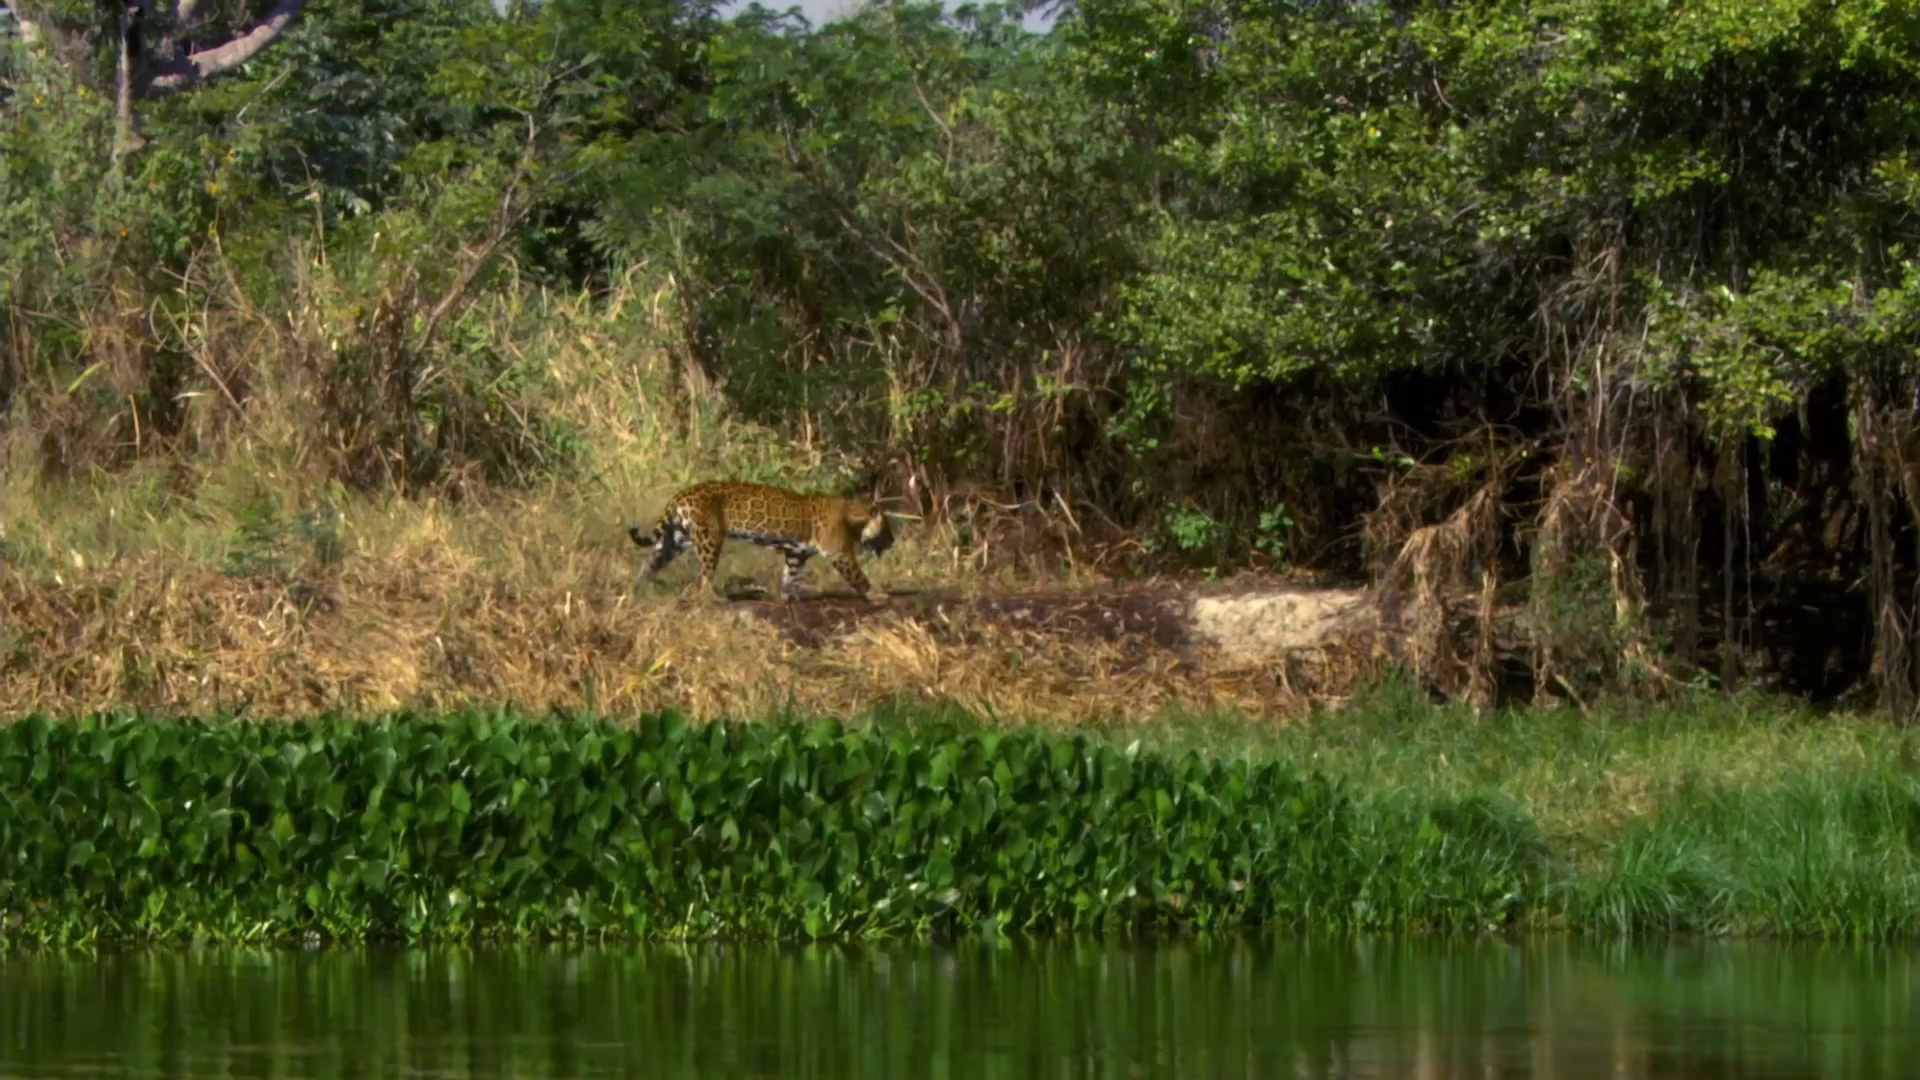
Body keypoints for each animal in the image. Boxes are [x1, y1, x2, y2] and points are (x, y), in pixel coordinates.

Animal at [627, 480, 896, 603]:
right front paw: (877, 594)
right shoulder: (839, 552)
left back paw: (637, 588)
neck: (855, 515)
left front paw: (787, 597)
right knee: (705, 573)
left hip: (676, 539)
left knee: (651, 562)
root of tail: (682, 494)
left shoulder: (797, 554)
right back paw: (713, 597)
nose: (893, 542)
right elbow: (858, 576)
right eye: (888, 530)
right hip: (710, 538)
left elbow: (791, 576)